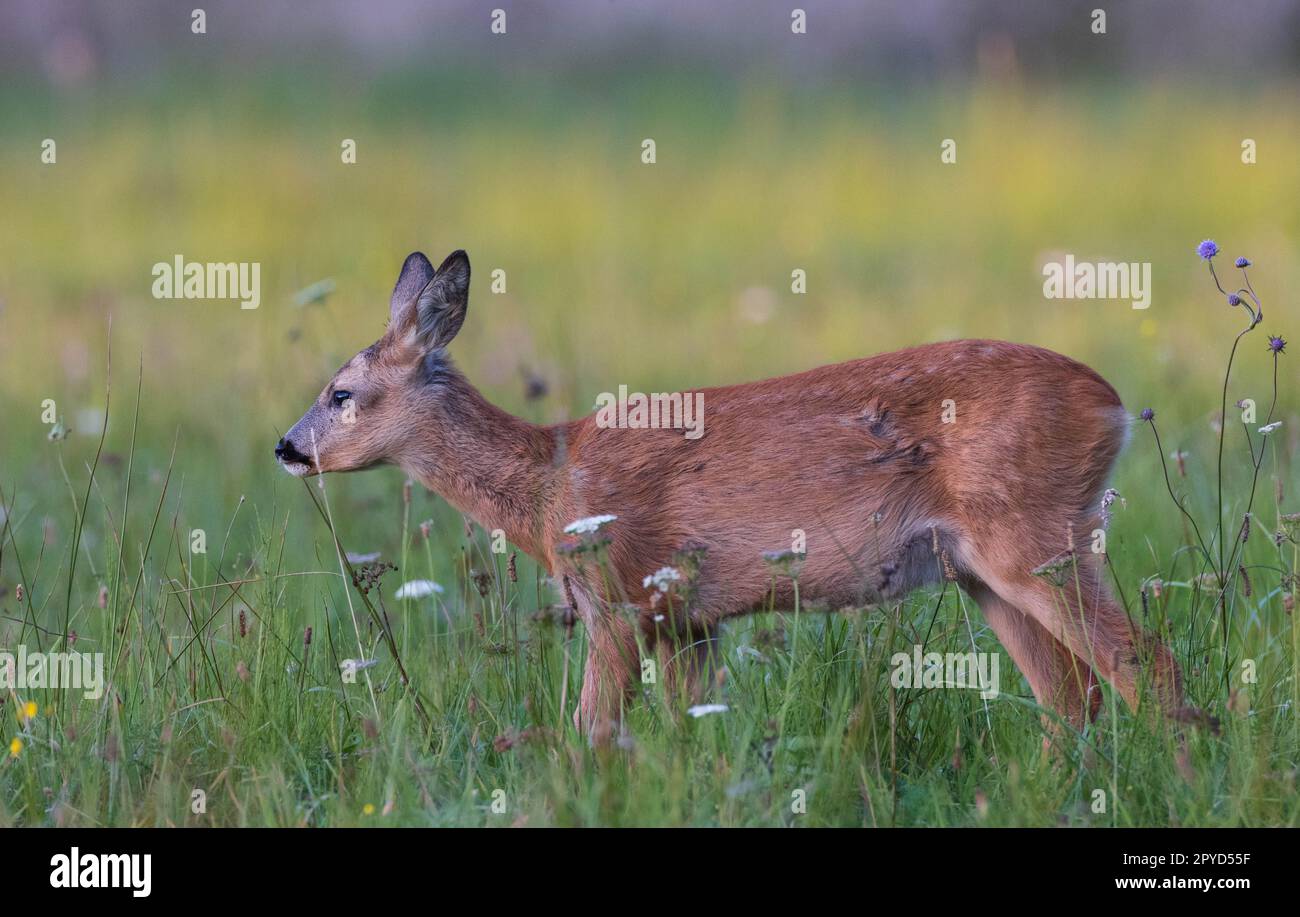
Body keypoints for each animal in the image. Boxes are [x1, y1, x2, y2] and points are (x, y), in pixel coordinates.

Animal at [276, 249, 1185, 745]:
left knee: (1145, 663)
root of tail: (1113, 405)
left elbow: (593, 730)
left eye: (341, 393)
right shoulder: (692, 619)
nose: (287, 448)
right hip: (981, 569)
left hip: (1034, 533)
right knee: (1073, 697)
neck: (549, 481)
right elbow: (694, 731)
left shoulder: (617, 597)